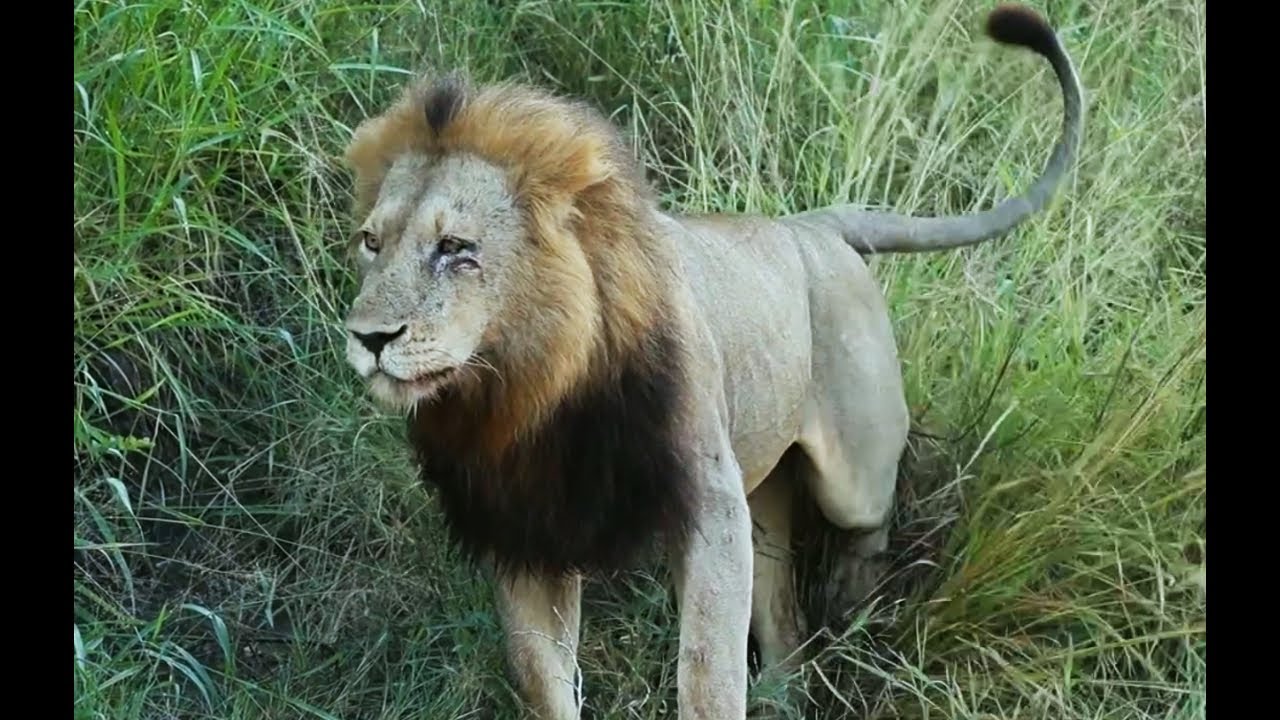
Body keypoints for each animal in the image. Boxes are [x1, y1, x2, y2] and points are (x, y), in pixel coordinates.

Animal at [336, 4, 1082, 718]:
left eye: (455, 247)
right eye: (372, 242)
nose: (368, 337)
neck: (534, 389)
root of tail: (810, 225)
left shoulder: (709, 505)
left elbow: (706, 673)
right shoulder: (524, 534)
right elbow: (543, 678)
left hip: (851, 474)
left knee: (864, 527)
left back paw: (854, 616)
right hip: (767, 488)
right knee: (783, 619)